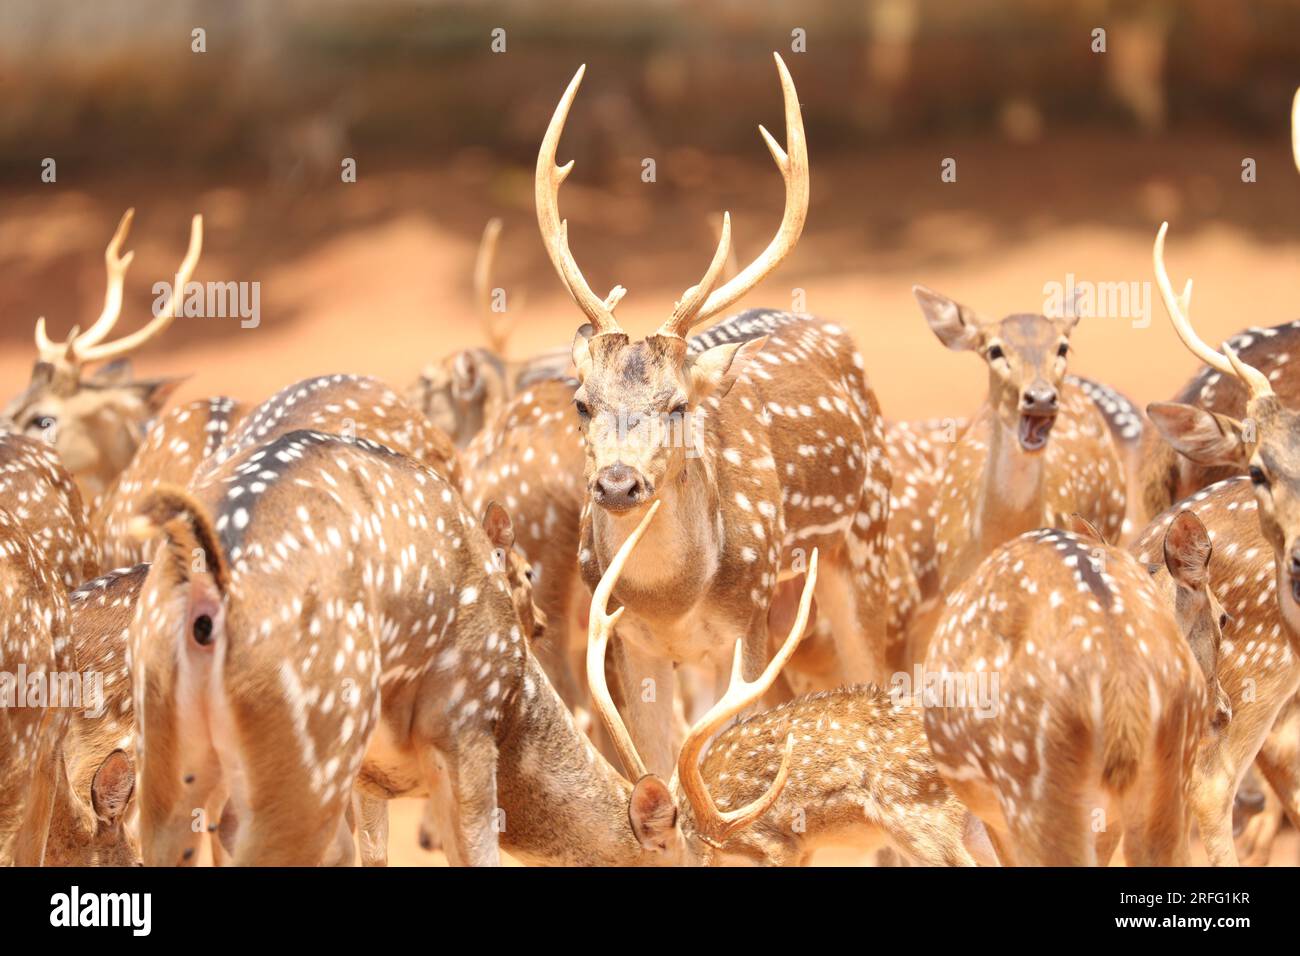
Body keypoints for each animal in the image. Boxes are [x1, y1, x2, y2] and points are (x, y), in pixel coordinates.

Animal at [536, 53, 892, 778]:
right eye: (582, 402)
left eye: (679, 405)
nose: (618, 483)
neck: (673, 602)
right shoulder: (628, 640)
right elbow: (659, 779)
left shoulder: (745, 627)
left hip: (865, 543)